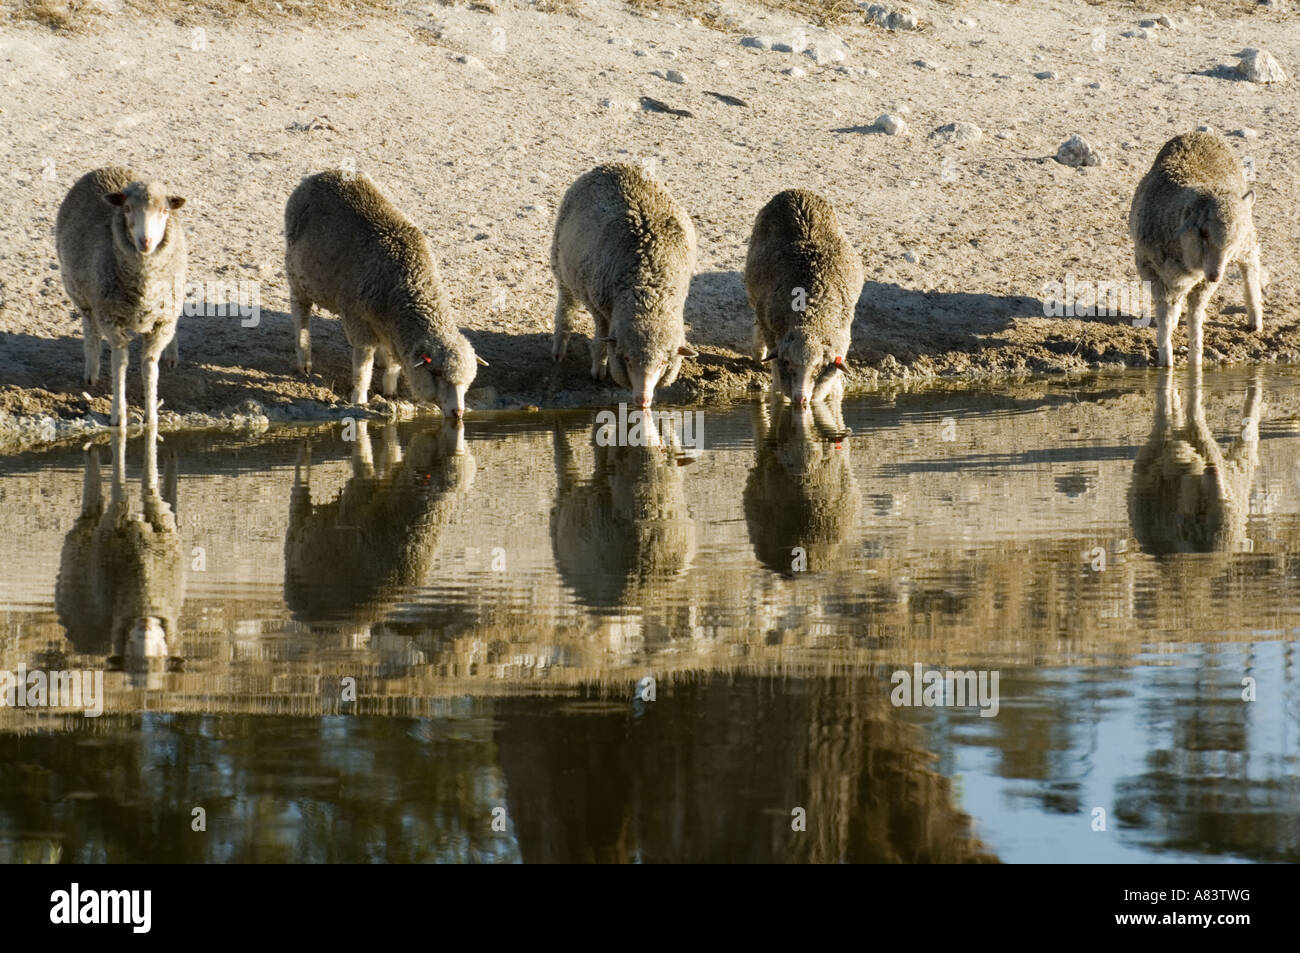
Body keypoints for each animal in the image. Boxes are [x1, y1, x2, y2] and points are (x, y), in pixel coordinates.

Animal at [55, 167, 187, 428]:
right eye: (127, 209)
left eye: (164, 211)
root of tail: (105, 168)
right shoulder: (111, 319)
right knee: (90, 327)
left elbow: (149, 366)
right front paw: (118, 416)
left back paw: (172, 355)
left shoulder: (162, 321)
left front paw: (151, 417)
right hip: (80, 293)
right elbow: (120, 364)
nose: (145, 241)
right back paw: (91, 371)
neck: (144, 288)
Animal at [284, 170, 486, 418]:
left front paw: (390, 389)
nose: (458, 412)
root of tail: (322, 175)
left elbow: (394, 362)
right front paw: (359, 399)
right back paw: (304, 360)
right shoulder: (358, 321)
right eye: (437, 373)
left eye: (467, 381)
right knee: (300, 316)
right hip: (297, 277)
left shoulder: (394, 330)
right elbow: (362, 367)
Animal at [551, 163, 699, 409]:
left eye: (663, 363)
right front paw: (599, 369)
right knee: (565, 307)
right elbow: (601, 338)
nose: (643, 400)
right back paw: (558, 350)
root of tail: (612, 165)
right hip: (560, 266)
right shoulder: (599, 306)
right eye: (627, 359)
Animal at [744, 189, 862, 408]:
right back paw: (758, 354)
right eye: (788, 364)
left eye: (817, 368)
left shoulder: (842, 338)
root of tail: (796, 191)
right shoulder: (771, 327)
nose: (801, 399)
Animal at [1129, 131, 1264, 368]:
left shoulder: (1203, 282)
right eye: (1203, 233)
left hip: (1246, 239)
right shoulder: (1150, 270)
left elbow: (1194, 318)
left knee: (1250, 262)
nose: (1215, 275)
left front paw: (1195, 362)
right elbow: (1164, 315)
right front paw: (1166, 361)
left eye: (1230, 244)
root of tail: (1201, 133)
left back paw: (1255, 317)